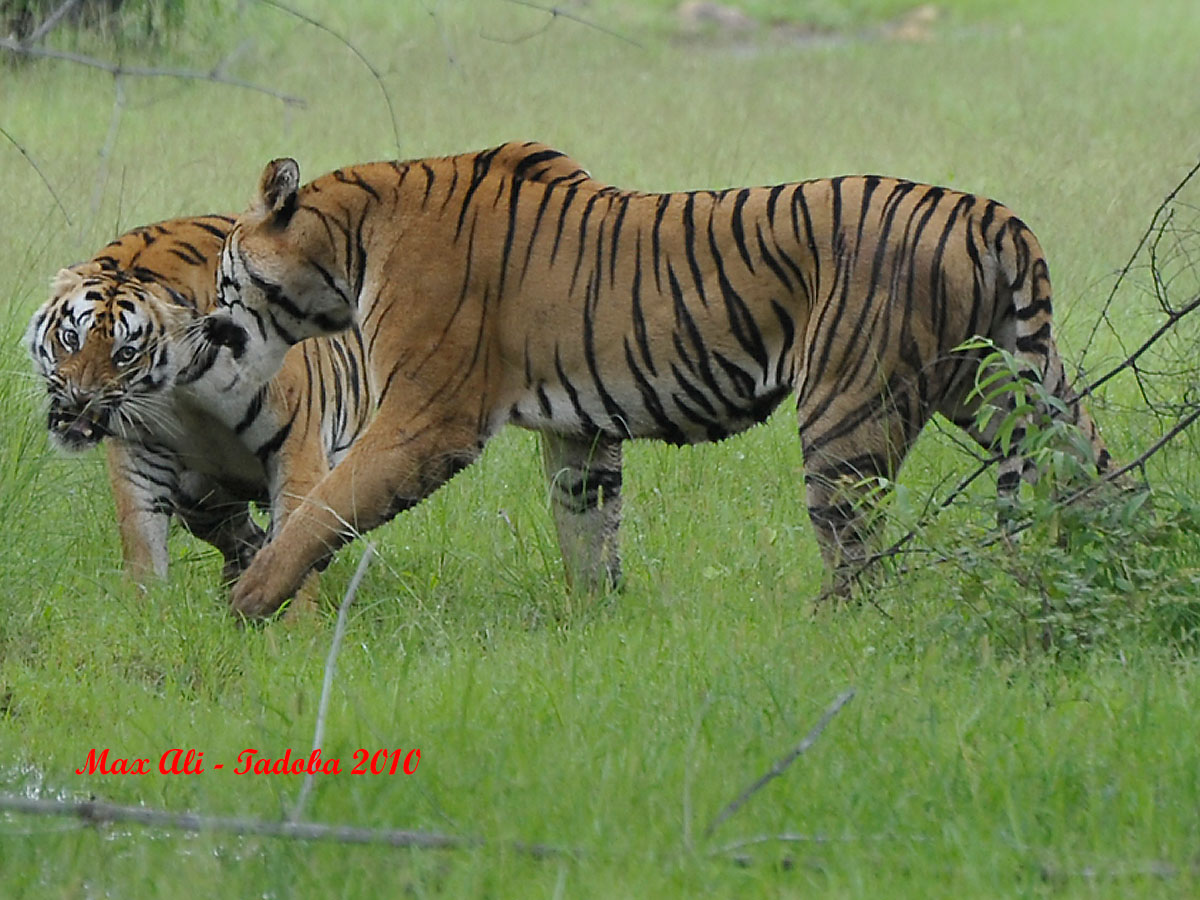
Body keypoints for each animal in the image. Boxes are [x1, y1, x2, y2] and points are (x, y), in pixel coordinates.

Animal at [185, 141, 1116, 618]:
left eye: (225, 277)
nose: (208, 329)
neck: (348, 242)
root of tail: (991, 215)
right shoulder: (577, 430)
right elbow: (588, 532)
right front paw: (598, 625)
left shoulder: (425, 416)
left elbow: (324, 508)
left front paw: (249, 604)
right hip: (1007, 387)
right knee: (1099, 477)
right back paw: (1111, 566)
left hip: (850, 412)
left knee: (857, 558)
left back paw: (827, 637)